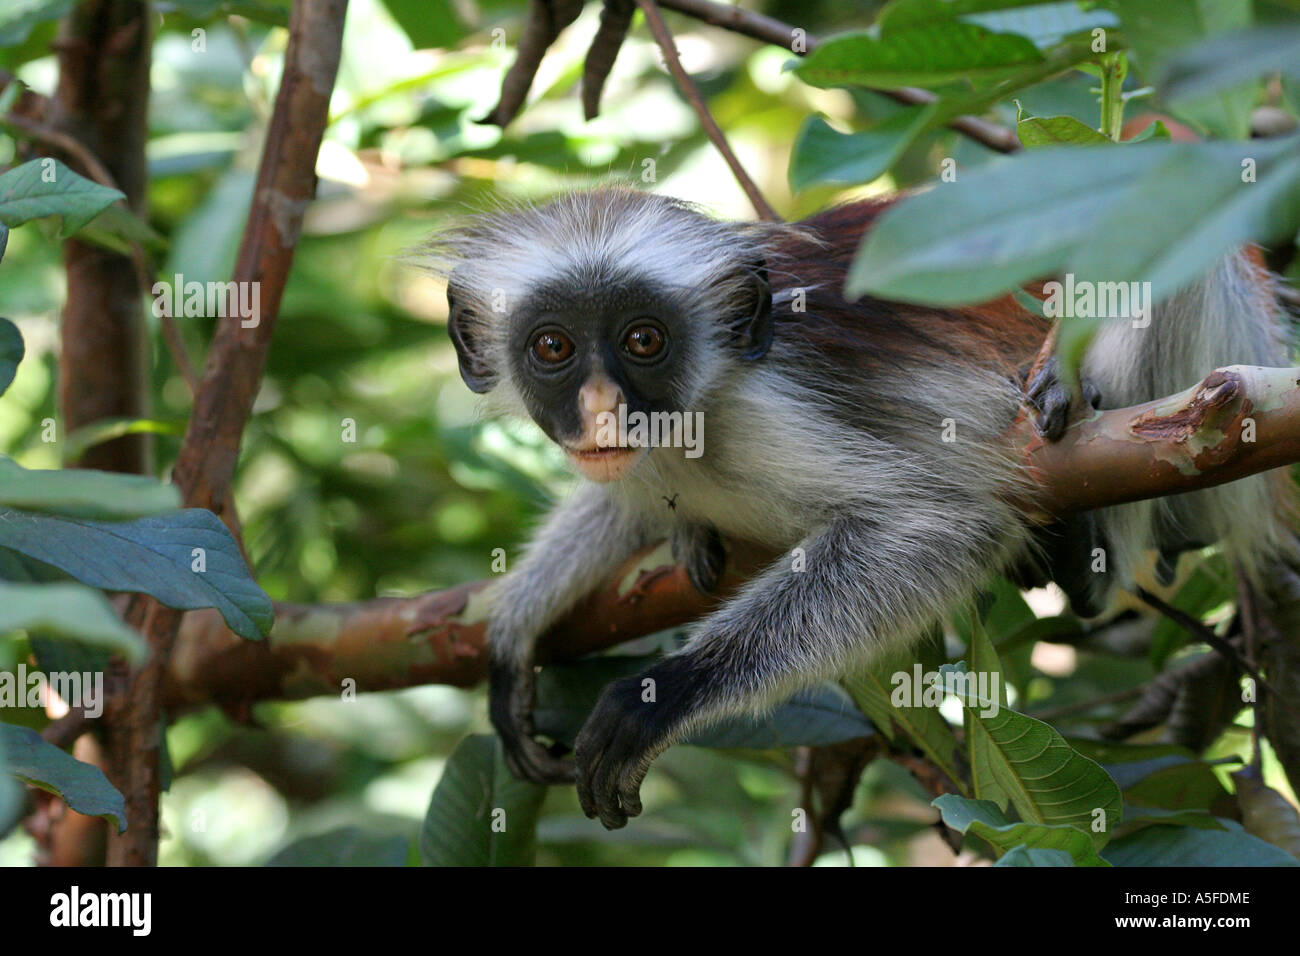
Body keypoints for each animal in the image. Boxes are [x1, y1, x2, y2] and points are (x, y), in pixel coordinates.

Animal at [421, 187, 1294, 832]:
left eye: (643, 340)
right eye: (554, 348)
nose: (602, 408)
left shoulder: (769, 414)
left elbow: (946, 522)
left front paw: (665, 693)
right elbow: (620, 502)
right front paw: (515, 630)